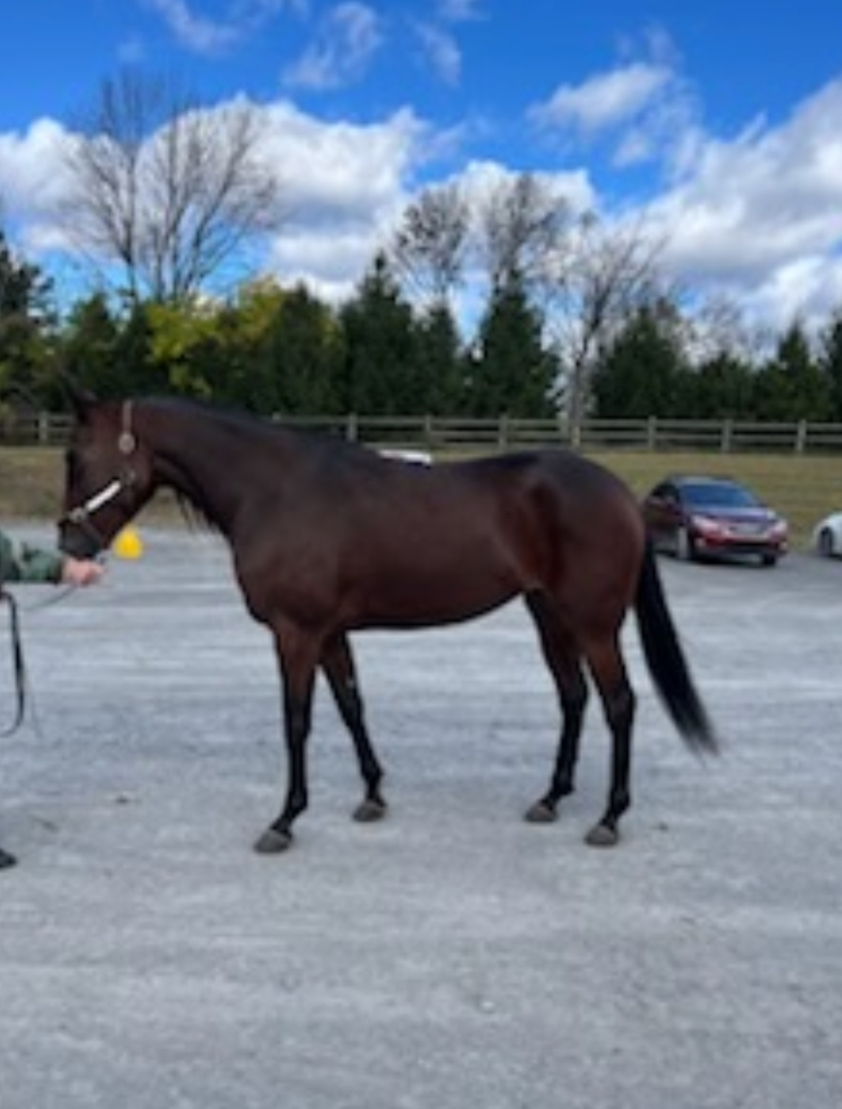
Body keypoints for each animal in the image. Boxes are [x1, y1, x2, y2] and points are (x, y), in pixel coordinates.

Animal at [58, 391, 717, 853]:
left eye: (75, 456)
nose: (70, 544)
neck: (275, 490)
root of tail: (620, 494)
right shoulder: (328, 633)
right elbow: (352, 706)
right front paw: (373, 794)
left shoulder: (296, 633)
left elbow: (297, 722)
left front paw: (285, 819)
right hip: (550, 616)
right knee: (574, 698)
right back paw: (552, 797)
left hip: (594, 625)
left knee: (619, 704)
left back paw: (609, 817)